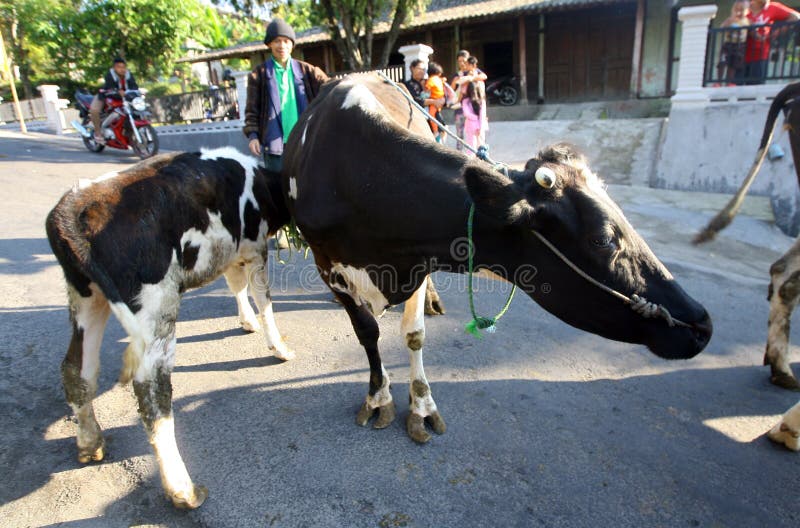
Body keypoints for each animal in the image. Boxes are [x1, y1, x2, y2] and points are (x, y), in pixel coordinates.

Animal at [45, 147, 296, 509]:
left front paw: (246, 322)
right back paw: (183, 489)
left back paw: (90, 442)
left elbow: (235, 285)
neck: (260, 179)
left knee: (77, 370)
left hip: (87, 298)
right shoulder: (254, 247)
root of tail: (73, 209)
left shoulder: (231, 251)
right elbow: (263, 298)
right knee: (151, 391)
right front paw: (279, 347)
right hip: (157, 307)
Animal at [282, 74, 713, 445]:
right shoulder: (326, 264)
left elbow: (414, 335)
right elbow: (367, 333)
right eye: (604, 239)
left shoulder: (419, 261)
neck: (366, 180)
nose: (702, 323)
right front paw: (379, 398)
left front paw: (421, 407)